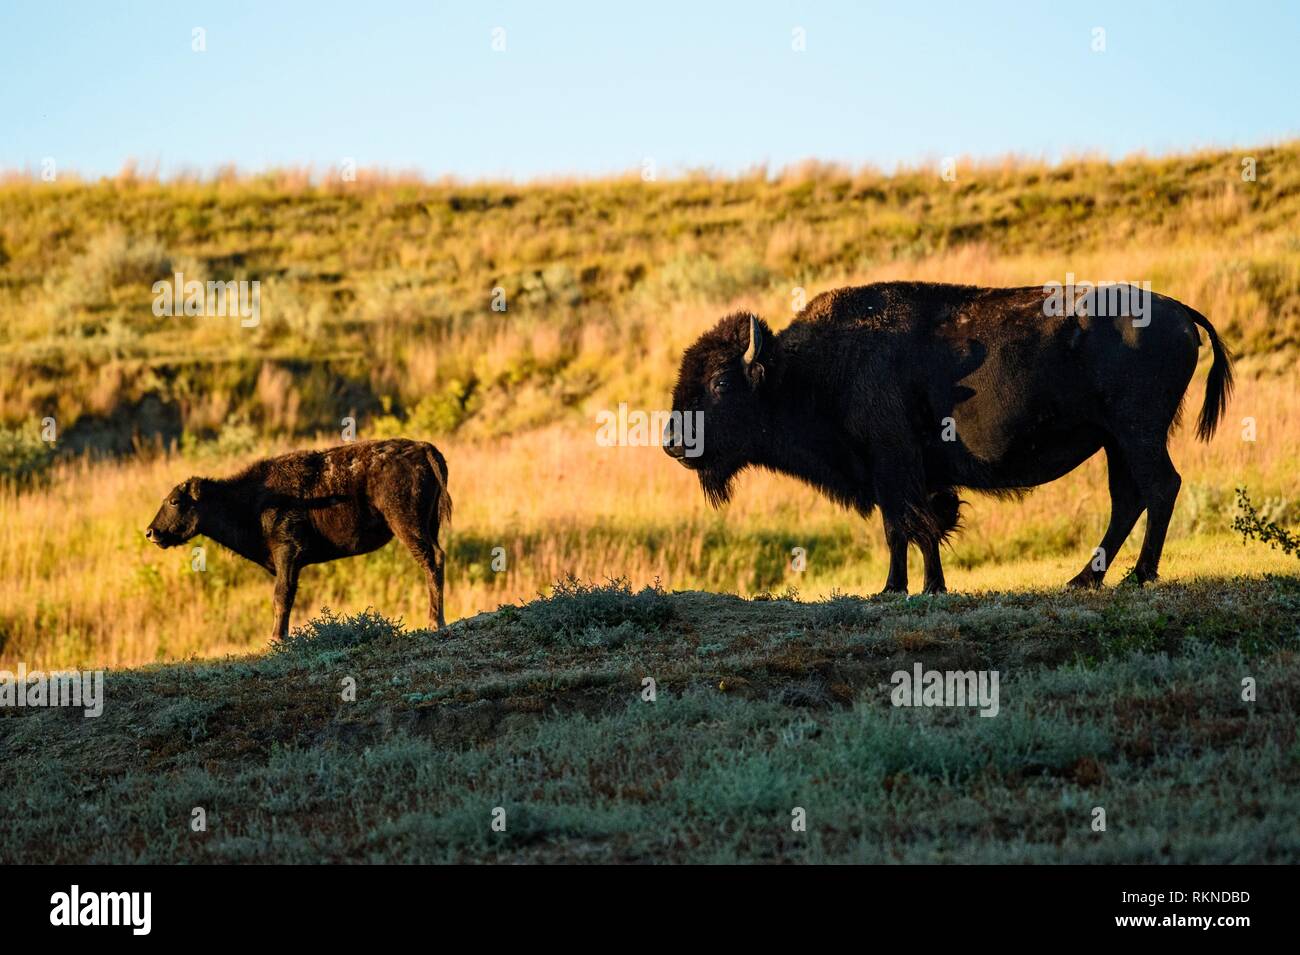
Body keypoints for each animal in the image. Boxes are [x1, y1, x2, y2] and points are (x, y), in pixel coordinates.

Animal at [146, 438, 452, 637]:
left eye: (174, 501)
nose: (151, 532)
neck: (251, 500)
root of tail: (424, 448)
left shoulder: (288, 553)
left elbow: (282, 596)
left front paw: (276, 638)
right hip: (428, 525)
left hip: (407, 524)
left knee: (432, 559)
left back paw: (434, 622)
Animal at [664, 282, 1233, 594]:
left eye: (720, 382)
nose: (673, 441)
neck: (804, 370)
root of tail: (1180, 311)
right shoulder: (906, 476)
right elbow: (913, 530)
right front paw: (913, 588)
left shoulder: (894, 467)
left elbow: (909, 528)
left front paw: (911, 589)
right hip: (1117, 441)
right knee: (1128, 499)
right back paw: (1084, 579)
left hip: (1137, 434)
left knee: (1159, 488)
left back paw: (1139, 575)